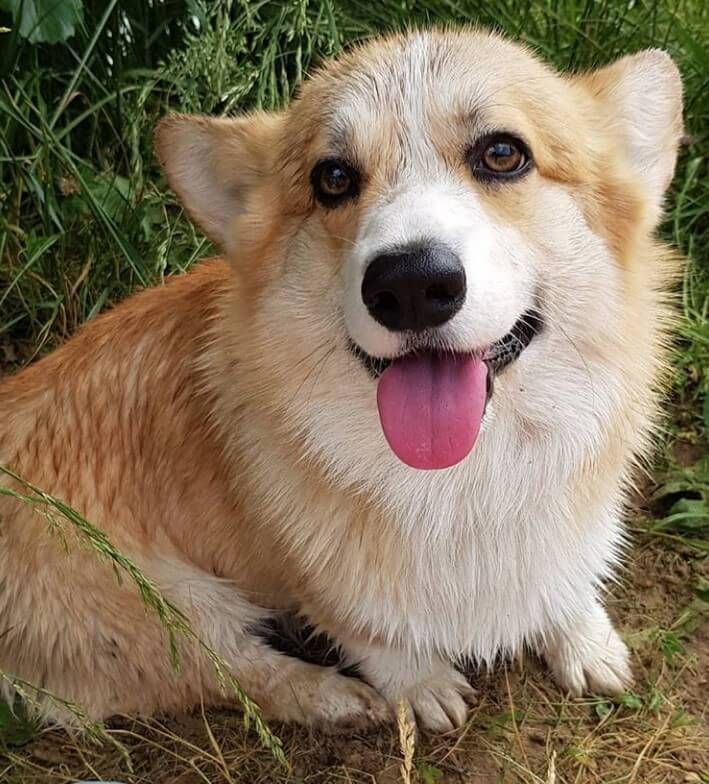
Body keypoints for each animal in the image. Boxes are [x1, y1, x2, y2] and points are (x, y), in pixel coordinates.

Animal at [1, 27, 684, 732]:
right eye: (332, 178)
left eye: (502, 153)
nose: (410, 286)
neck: (471, 476)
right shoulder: (314, 576)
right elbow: (373, 634)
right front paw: (420, 686)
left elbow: (564, 579)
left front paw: (583, 639)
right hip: (165, 606)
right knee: (237, 673)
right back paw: (339, 698)